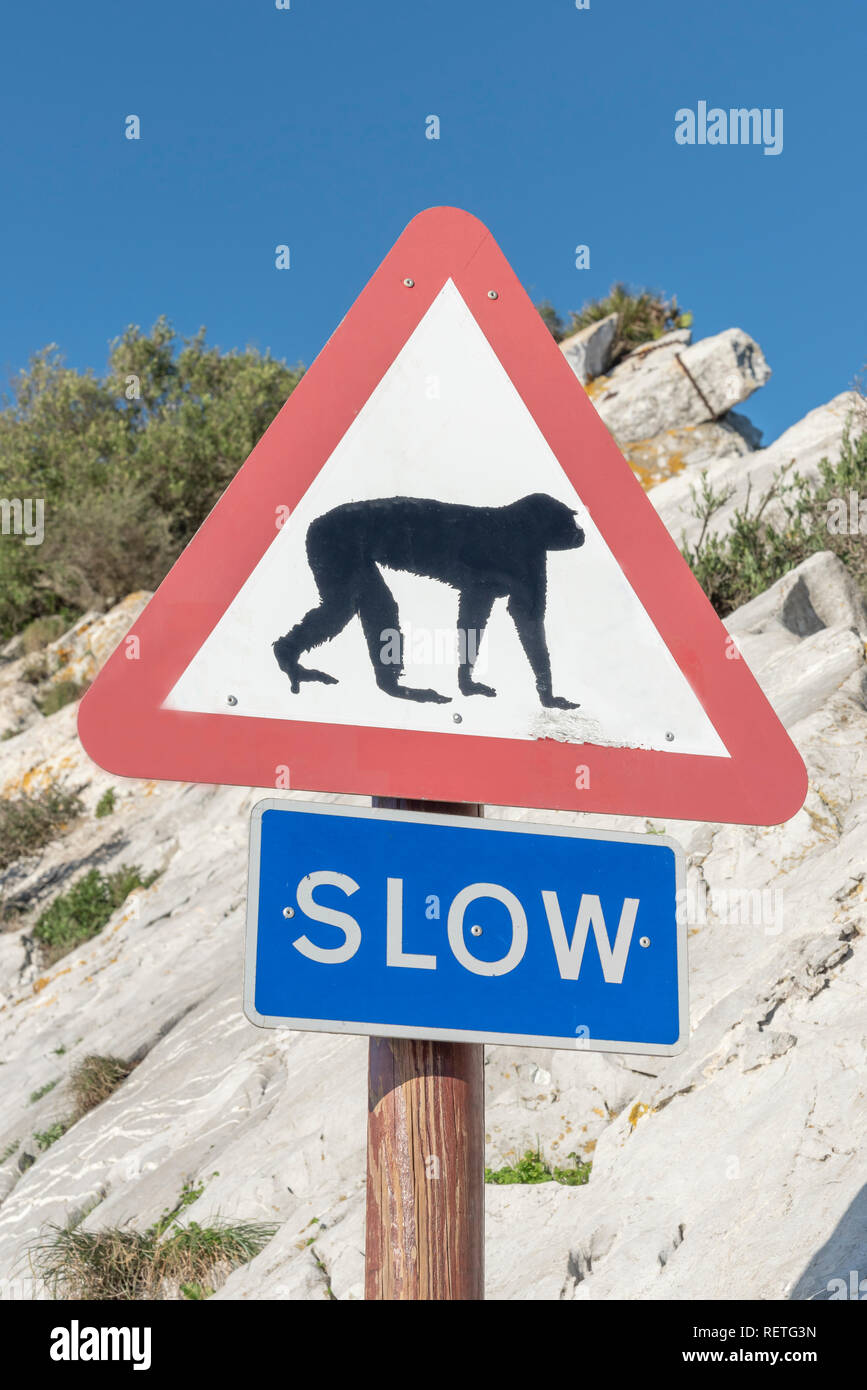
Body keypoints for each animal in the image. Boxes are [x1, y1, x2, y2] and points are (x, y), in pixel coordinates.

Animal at [272, 493, 585, 707]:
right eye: (571, 520)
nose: (581, 532)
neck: (520, 524)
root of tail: (316, 523)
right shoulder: (528, 555)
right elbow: (526, 618)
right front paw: (549, 697)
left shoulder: (490, 582)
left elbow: (474, 615)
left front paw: (467, 685)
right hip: (333, 548)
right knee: (342, 607)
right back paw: (287, 655)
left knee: (371, 602)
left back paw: (391, 686)